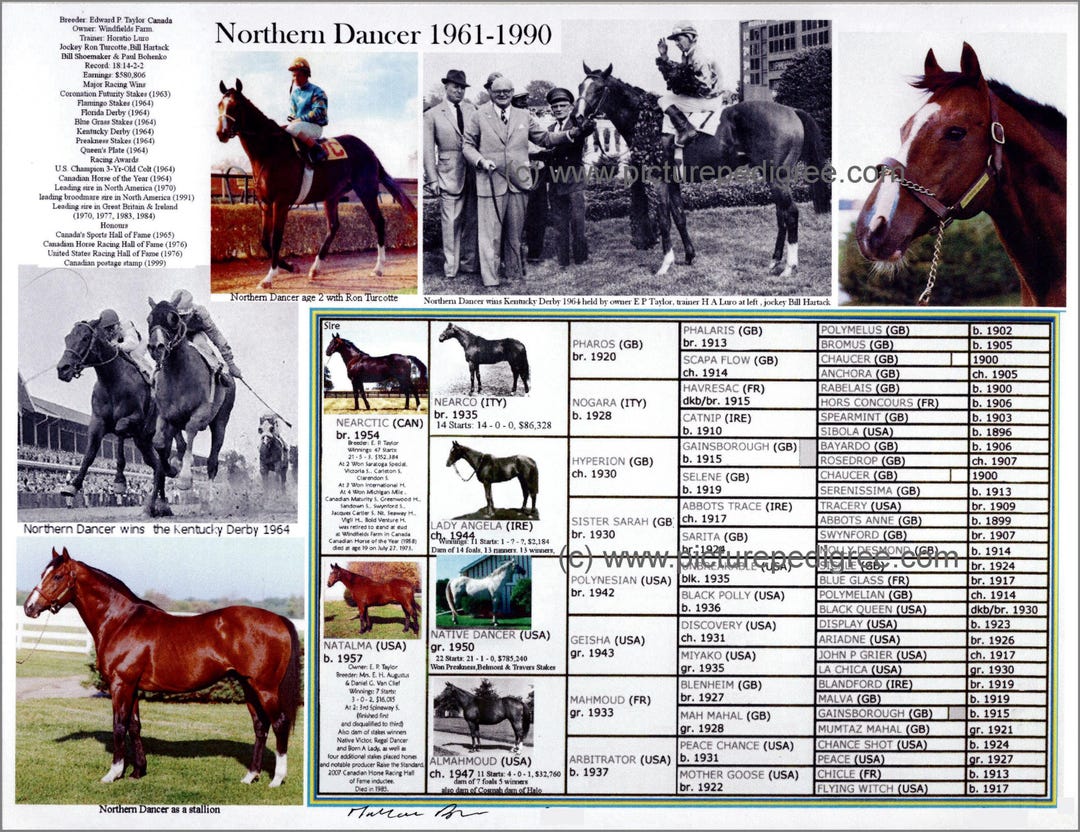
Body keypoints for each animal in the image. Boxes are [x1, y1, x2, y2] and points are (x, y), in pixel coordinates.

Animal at [22, 548, 301, 786]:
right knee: (260, 726)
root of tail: (279, 619)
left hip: (264, 687)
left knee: (279, 723)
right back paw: (250, 776)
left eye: (57, 576)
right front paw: (137, 771)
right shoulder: (132, 687)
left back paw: (276, 780)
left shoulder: (120, 684)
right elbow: (134, 726)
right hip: (248, 685)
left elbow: (119, 725)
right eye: (42, 574)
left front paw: (113, 773)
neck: (121, 621)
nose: (29, 607)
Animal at [56, 318, 176, 517]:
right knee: (156, 466)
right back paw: (160, 504)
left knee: (160, 466)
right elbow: (90, 453)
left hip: (160, 436)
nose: (62, 368)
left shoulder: (135, 418)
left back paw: (157, 502)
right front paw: (72, 486)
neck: (112, 380)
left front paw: (119, 480)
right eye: (67, 338)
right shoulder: (97, 422)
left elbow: (119, 430)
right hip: (143, 442)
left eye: (85, 338)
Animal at [146, 298, 235, 495]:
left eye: (173, 318)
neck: (178, 375)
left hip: (221, 422)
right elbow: (158, 442)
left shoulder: (200, 411)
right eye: (149, 319)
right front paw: (171, 468)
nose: (156, 347)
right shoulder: (165, 414)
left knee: (212, 462)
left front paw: (185, 478)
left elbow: (191, 429)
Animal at [216, 79, 417, 291]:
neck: (270, 152)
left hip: (366, 191)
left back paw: (378, 268)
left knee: (378, 222)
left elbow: (276, 238)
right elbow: (264, 240)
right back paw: (315, 268)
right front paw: (291, 266)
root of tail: (369, 150)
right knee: (333, 226)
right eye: (219, 105)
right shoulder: (265, 203)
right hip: (332, 196)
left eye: (235, 106)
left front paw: (269, 277)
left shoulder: (280, 203)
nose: (221, 133)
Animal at [574, 63, 829, 278]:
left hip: (777, 176)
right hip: (771, 176)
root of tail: (791, 110)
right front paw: (689, 256)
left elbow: (664, 218)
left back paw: (789, 267)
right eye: (579, 87)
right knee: (781, 214)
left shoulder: (660, 178)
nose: (577, 118)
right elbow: (679, 216)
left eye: (599, 89)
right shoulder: (673, 180)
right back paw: (775, 260)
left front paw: (665, 264)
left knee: (791, 213)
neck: (646, 120)